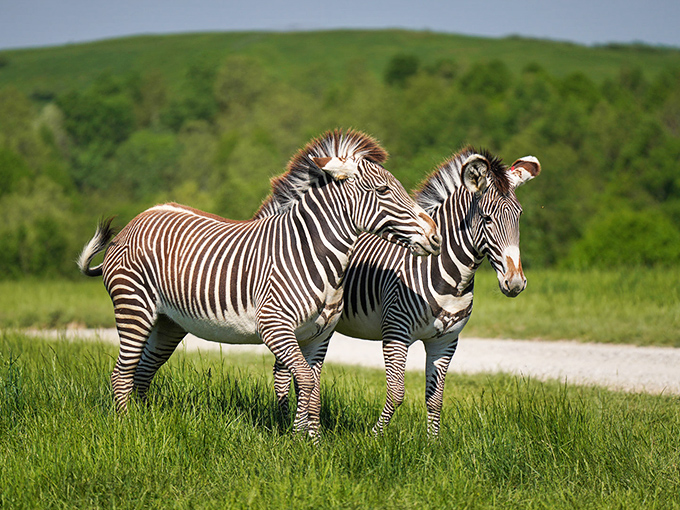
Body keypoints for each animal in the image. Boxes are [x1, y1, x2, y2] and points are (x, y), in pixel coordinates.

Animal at [77, 128, 441, 438]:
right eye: (383, 191)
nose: (435, 236)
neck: (312, 253)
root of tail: (138, 219)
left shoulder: (319, 336)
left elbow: (312, 386)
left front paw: (311, 441)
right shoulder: (274, 326)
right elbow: (304, 381)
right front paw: (301, 440)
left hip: (168, 322)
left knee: (142, 372)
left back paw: (144, 421)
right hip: (134, 308)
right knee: (122, 373)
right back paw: (127, 428)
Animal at [273, 147, 540, 437]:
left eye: (519, 216)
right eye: (488, 218)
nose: (515, 283)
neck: (449, 278)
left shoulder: (446, 341)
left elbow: (435, 399)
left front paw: (433, 442)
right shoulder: (396, 331)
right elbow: (397, 392)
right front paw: (376, 436)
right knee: (281, 371)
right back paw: (283, 422)